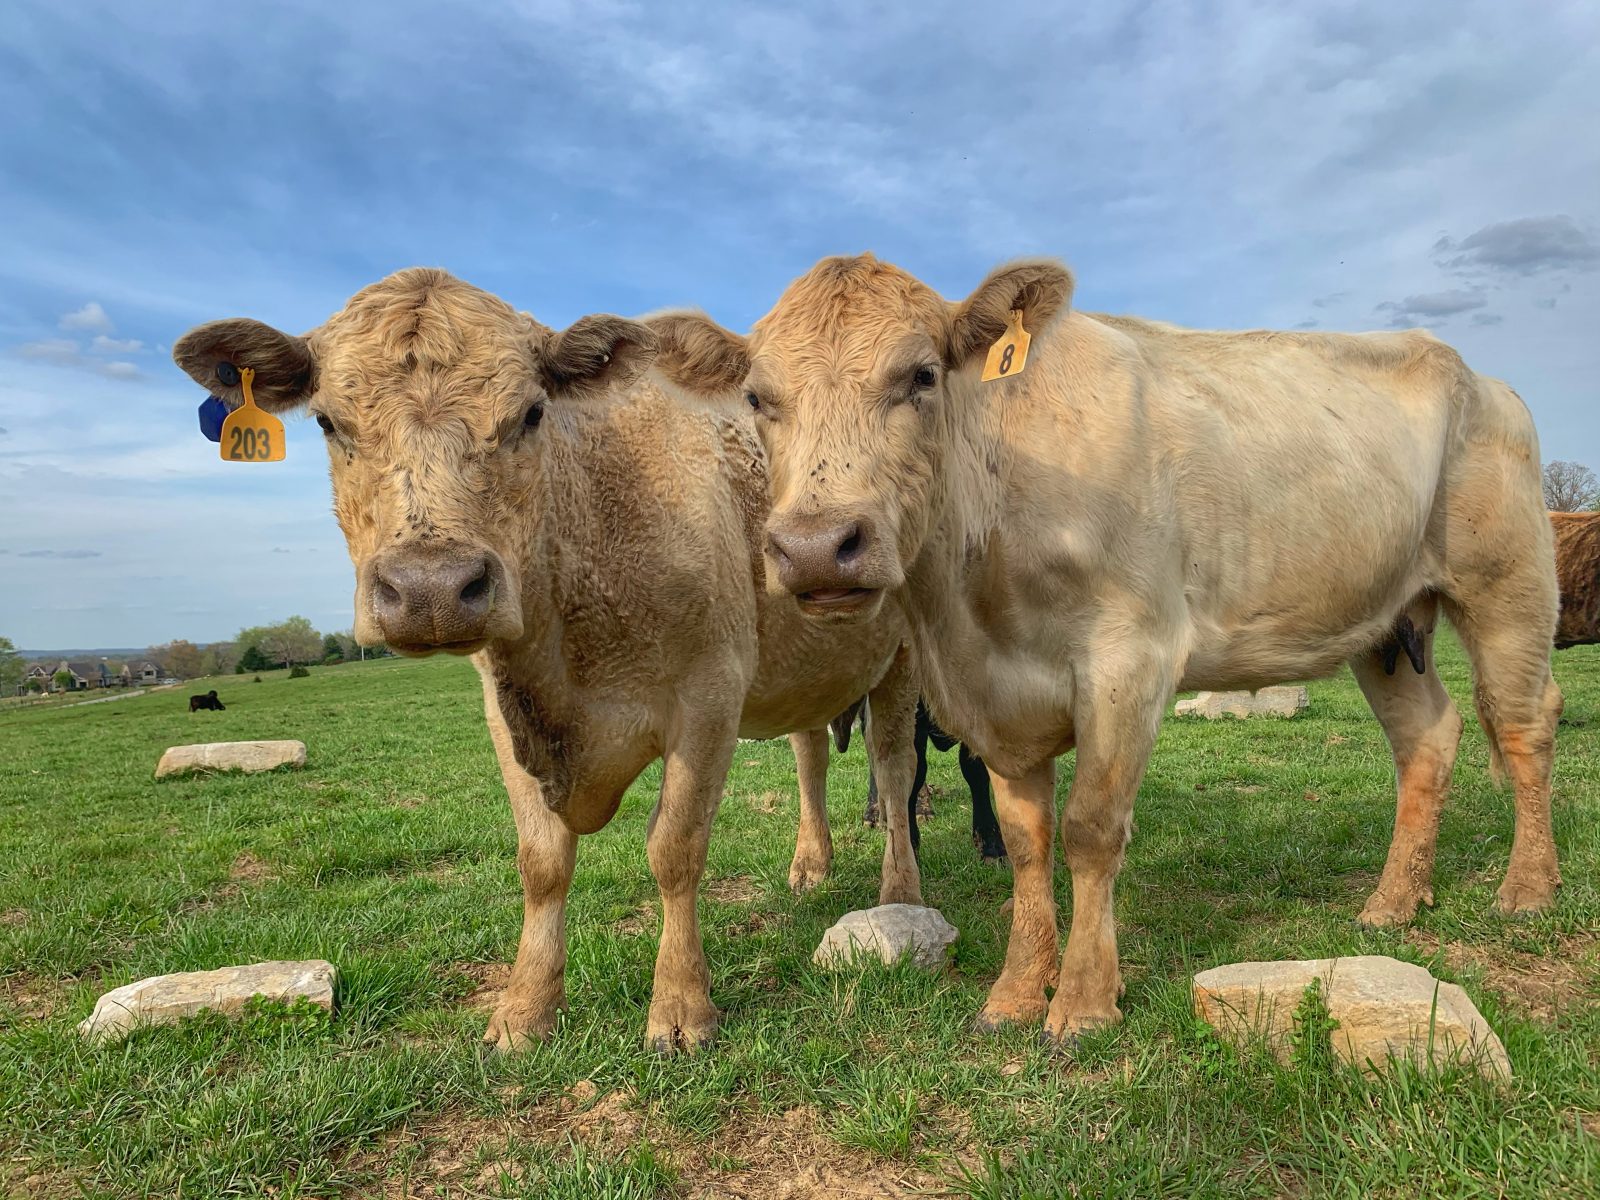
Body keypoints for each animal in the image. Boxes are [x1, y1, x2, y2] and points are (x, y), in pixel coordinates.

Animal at [172, 269, 924, 1055]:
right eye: (326, 423)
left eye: (531, 414)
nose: (432, 588)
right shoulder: (504, 717)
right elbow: (541, 863)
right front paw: (526, 1008)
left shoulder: (709, 695)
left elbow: (675, 849)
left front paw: (681, 1006)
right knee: (811, 753)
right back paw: (811, 864)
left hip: (903, 657)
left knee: (894, 769)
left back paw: (900, 897)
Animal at [648, 253, 1563, 1042]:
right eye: (759, 397)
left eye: (922, 376)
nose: (815, 547)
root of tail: (1480, 376)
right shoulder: (998, 701)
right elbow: (1028, 842)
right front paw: (1017, 992)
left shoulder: (1132, 657)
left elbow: (1090, 830)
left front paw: (1084, 1001)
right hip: (1383, 622)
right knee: (1428, 737)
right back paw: (1394, 902)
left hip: (1507, 582)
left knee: (1522, 722)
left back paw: (1527, 888)